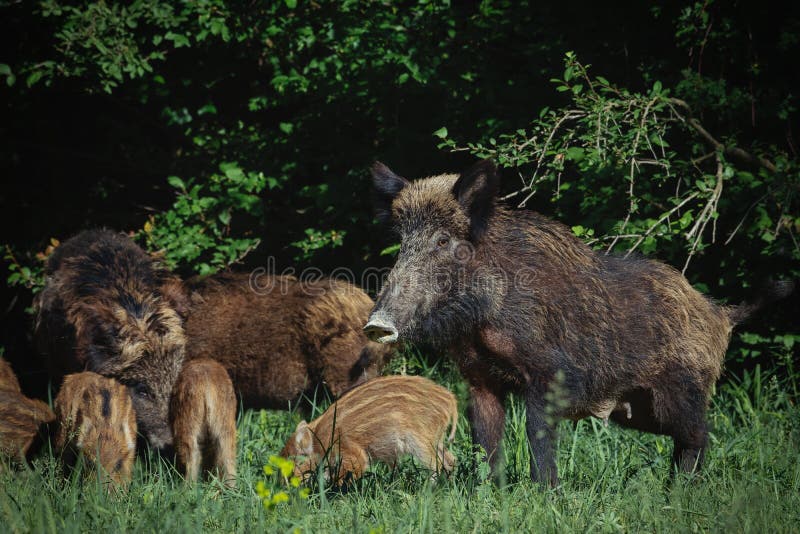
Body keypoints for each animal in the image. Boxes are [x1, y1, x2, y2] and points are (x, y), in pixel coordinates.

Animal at [279, 375, 457, 485]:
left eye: (296, 460)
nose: (284, 485)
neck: (318, 441)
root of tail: (450, 400)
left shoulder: (350, 452)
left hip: (420, 439)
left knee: (435, 464)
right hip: (436, 438)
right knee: (450, 460)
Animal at [364, 160, 794, 486]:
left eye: (442, 241)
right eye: (403, 241)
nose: (376, 324)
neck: (483, 320)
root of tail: (720, 314)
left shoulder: (550, 373)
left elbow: (537, 432)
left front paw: (544, 494)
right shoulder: (479, 378)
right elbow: (486, 440)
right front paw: (490, 493)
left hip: (682, 389)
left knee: (701, 435)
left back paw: (681, 491)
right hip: (639, 409)